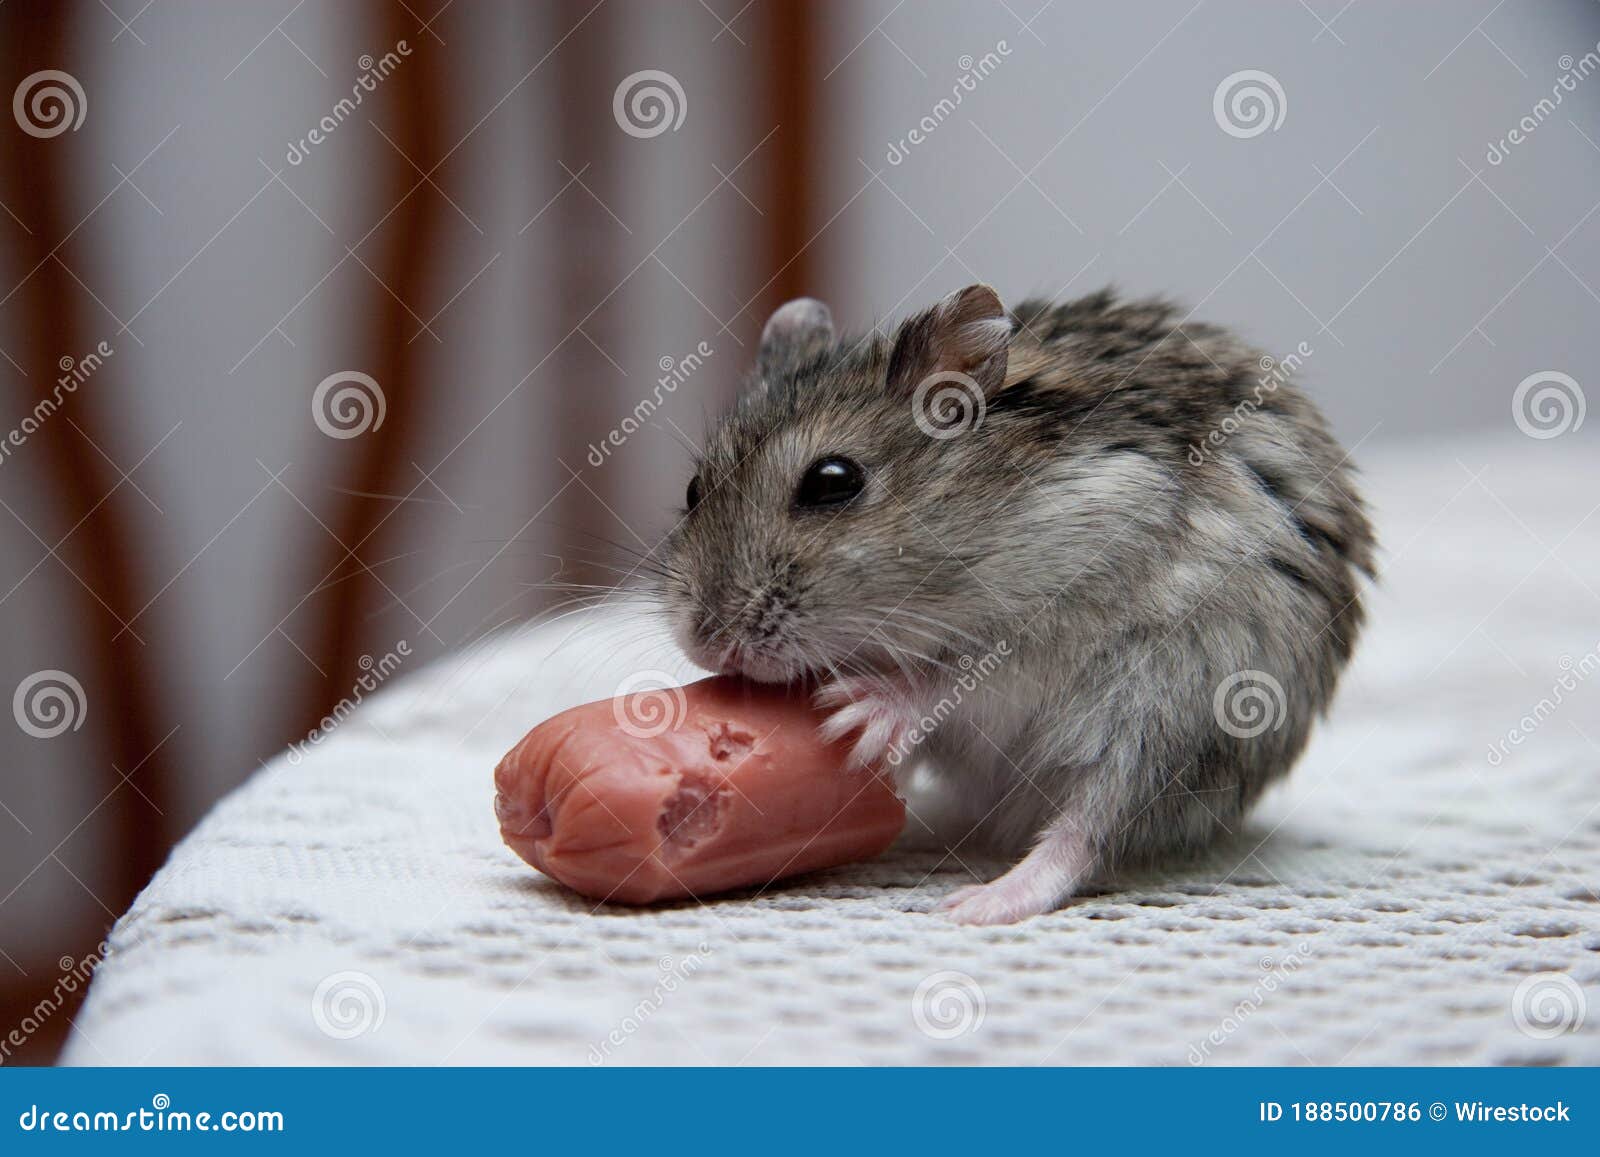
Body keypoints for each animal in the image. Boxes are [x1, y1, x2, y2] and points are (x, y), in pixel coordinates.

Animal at [655, 284, 1375, 924]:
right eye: (691, 489)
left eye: (834, 481)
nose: (710, 645)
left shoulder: (1075, 601)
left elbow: (959, 675)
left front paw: (860, 711)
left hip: (1183, 710)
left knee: (1091, 828)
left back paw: (980, 904)